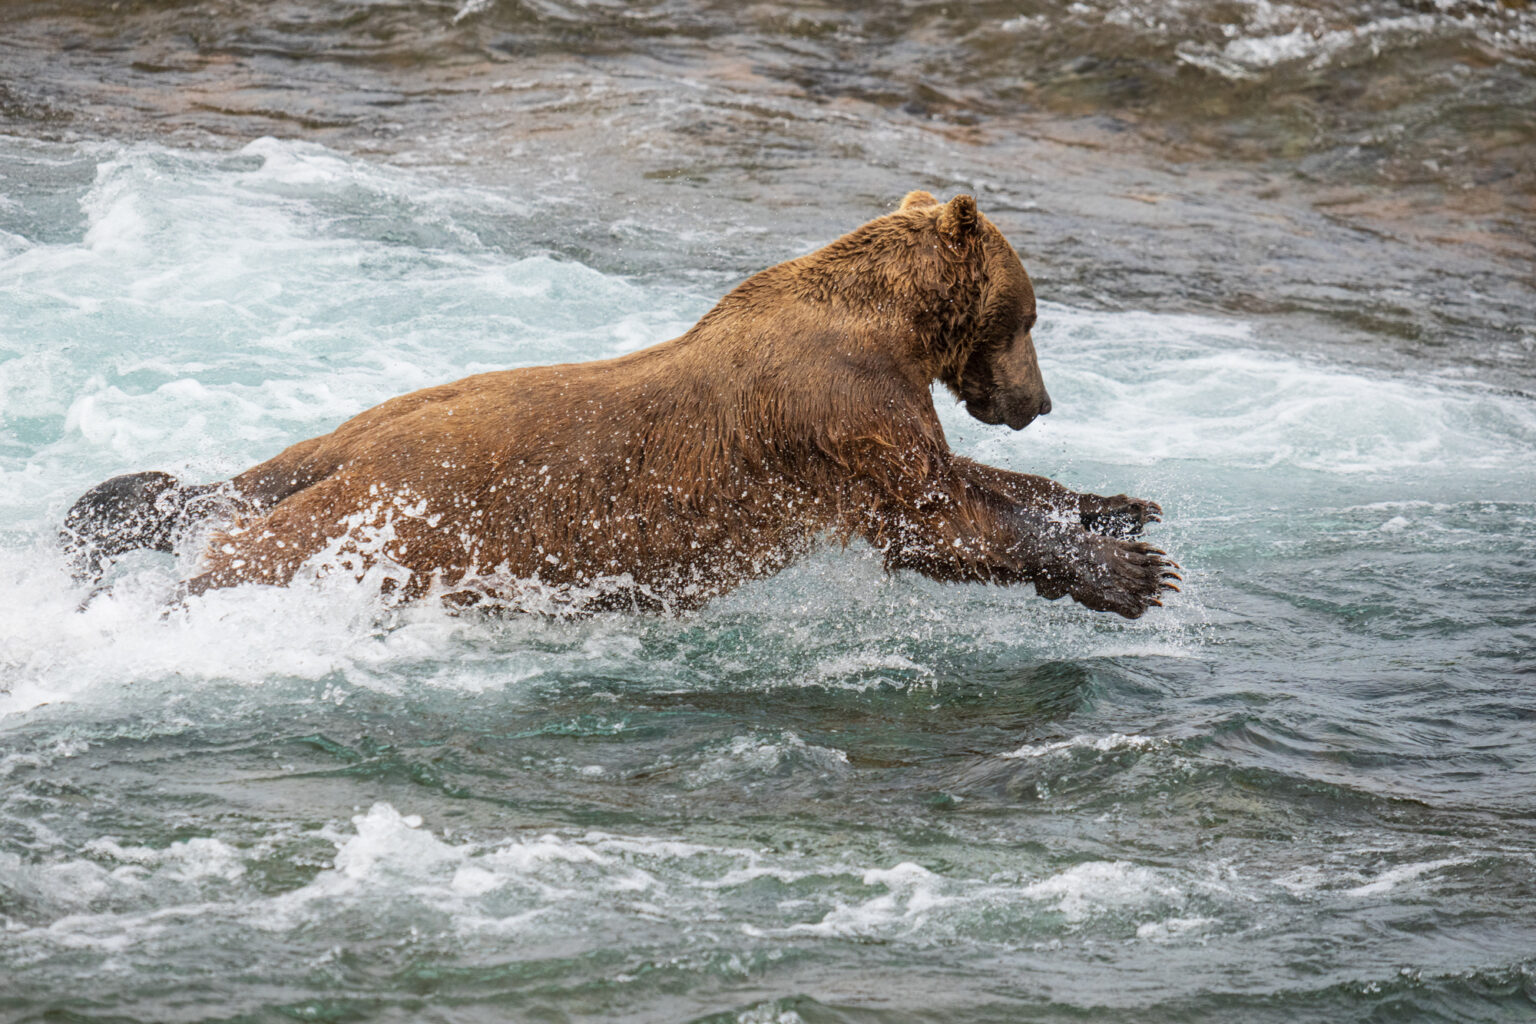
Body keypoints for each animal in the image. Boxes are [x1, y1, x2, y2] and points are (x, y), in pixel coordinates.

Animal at [62, 192, 1178, 617]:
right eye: (1031, 313)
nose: (1039, 400)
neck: (888, 326)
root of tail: (348, 452)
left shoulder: (881, 406)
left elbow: (960, 477)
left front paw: (1120, 506)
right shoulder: (834, 410)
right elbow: (933, 518)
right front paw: (1134, 575)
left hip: (333, 455)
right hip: (388, 525)